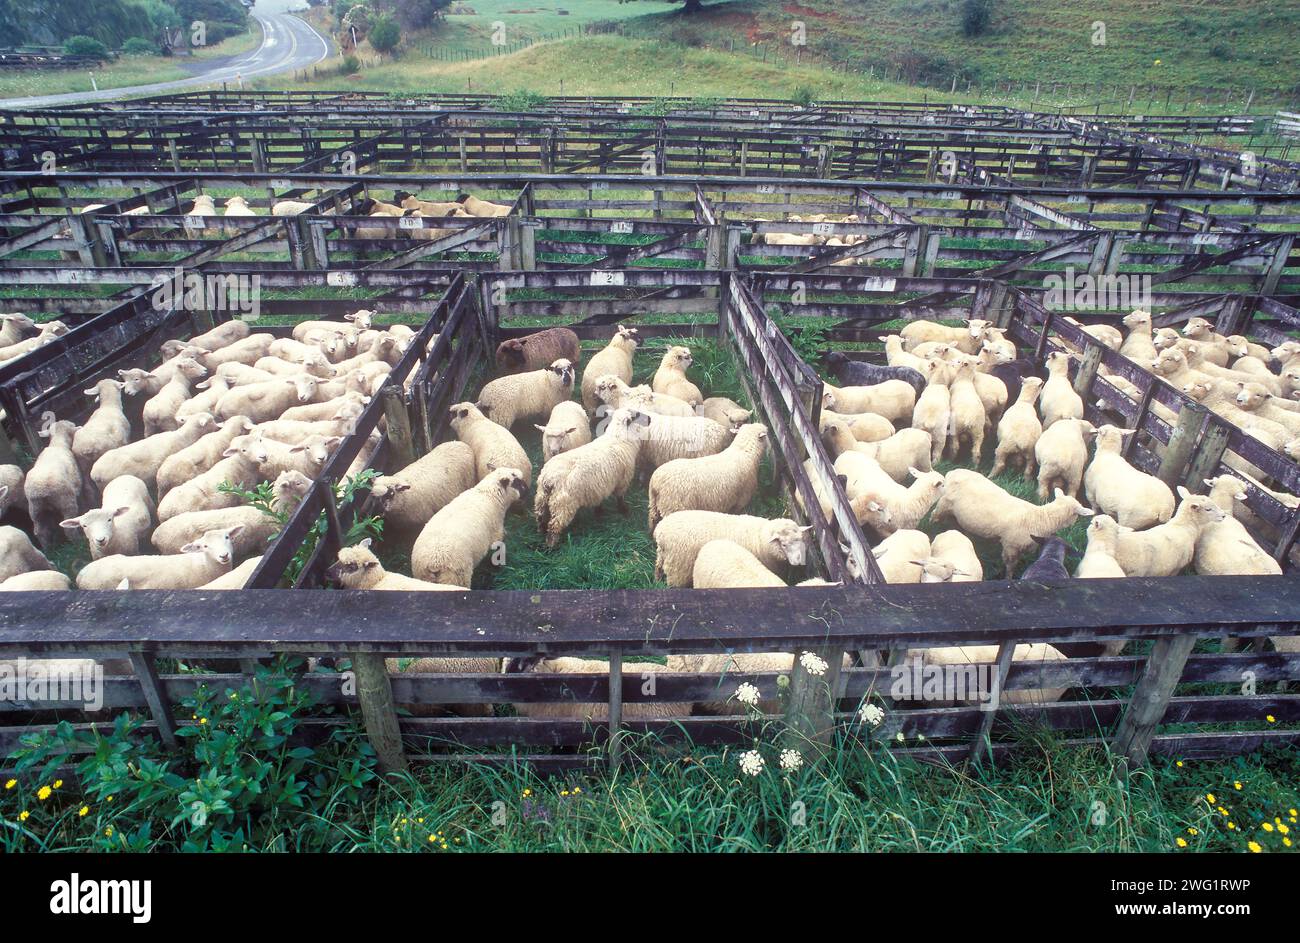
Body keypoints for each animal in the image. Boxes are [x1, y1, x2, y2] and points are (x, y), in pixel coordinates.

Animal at [26, 420, 86, 549]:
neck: (58, 444)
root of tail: (41, 491)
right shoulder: (77, 486)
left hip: (35, 510)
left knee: (39, 531)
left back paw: (48, 548)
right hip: (66, 501)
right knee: (68, 529)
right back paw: (79, 542)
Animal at [534, 408, 651, 546]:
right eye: (637, 415)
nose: (650, 419)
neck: (618, 438)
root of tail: (549, 478)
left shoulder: (598, 487)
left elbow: (599, 501)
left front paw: (599, 512)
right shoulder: (622, 480)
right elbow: (620, 498)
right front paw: (624, 510)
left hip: (541, 498)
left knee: (540, 517)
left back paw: (540, 530)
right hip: (562, 504)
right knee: (554, 527)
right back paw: (551, 545)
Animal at [653, 510, 811, 587]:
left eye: (800, 540)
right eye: (784, 544)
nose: (798, 561)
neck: (761, 536)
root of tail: (660, 531)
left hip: (663, 556)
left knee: (658, 569)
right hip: (678, 568)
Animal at [932, 468, 1094, 575]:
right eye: (1076, 515)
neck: (1041, 518)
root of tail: (953, 472)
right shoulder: (1010, 546)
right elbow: (1010, 566)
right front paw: (1008, 577)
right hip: (943, 504)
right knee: (934, 516)